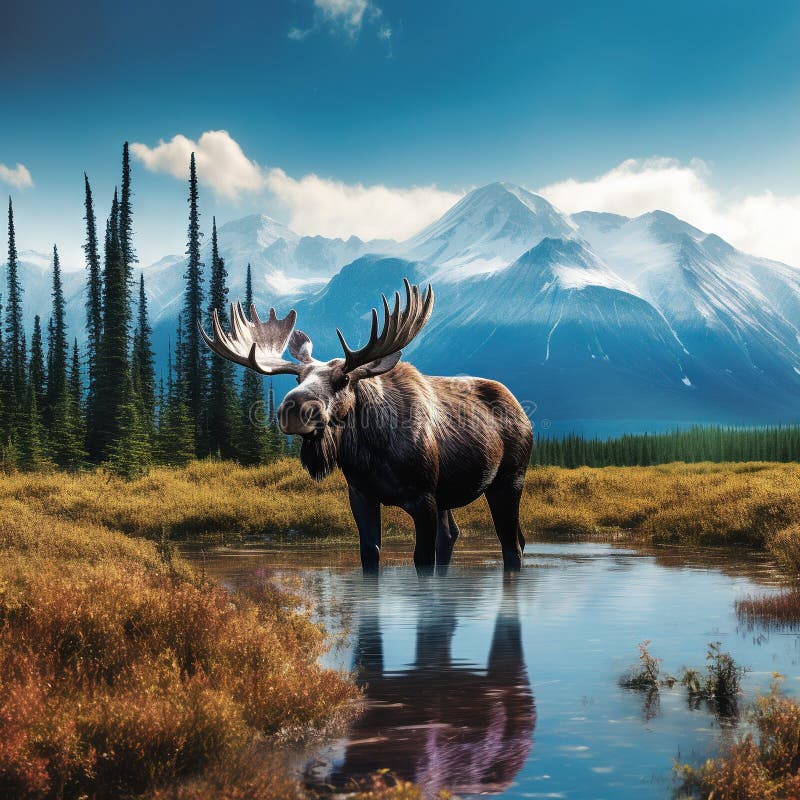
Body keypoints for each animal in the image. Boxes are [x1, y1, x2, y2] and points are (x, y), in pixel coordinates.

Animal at [200, 279, 533, 572]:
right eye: (298, 378)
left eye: (344, 378)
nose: (293, 410)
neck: (374, 455)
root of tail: (521, 411)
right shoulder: (361, 494)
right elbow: (370, 554)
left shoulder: (423, 496)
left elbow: (422, 560)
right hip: (448, 495)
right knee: (453, 536)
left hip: (509, 480)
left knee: (512, 543)